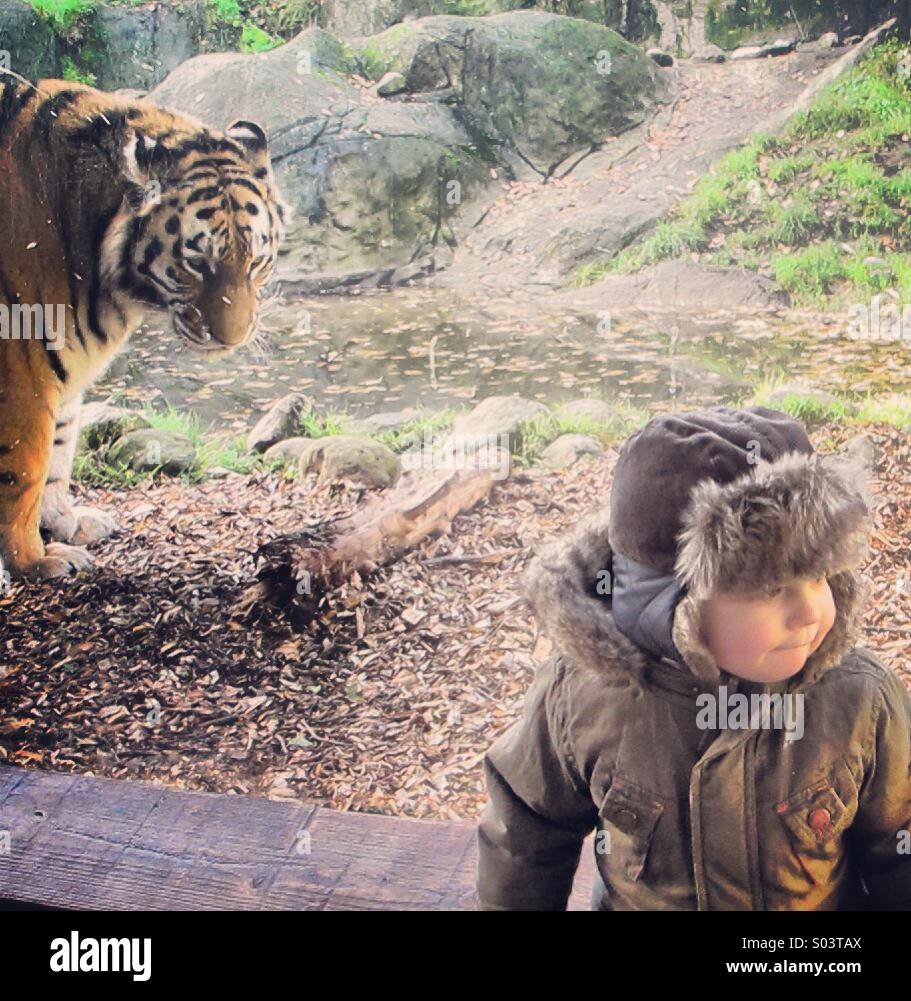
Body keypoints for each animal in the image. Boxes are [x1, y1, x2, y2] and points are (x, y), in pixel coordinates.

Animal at [0, 76, 291, 582]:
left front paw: (65, 524)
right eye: (197, 263)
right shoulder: (21, 370)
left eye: (255, 260)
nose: (232, 339)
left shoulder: (61, 367)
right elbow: (26, 470)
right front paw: (34, 561)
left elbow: (60, 450)